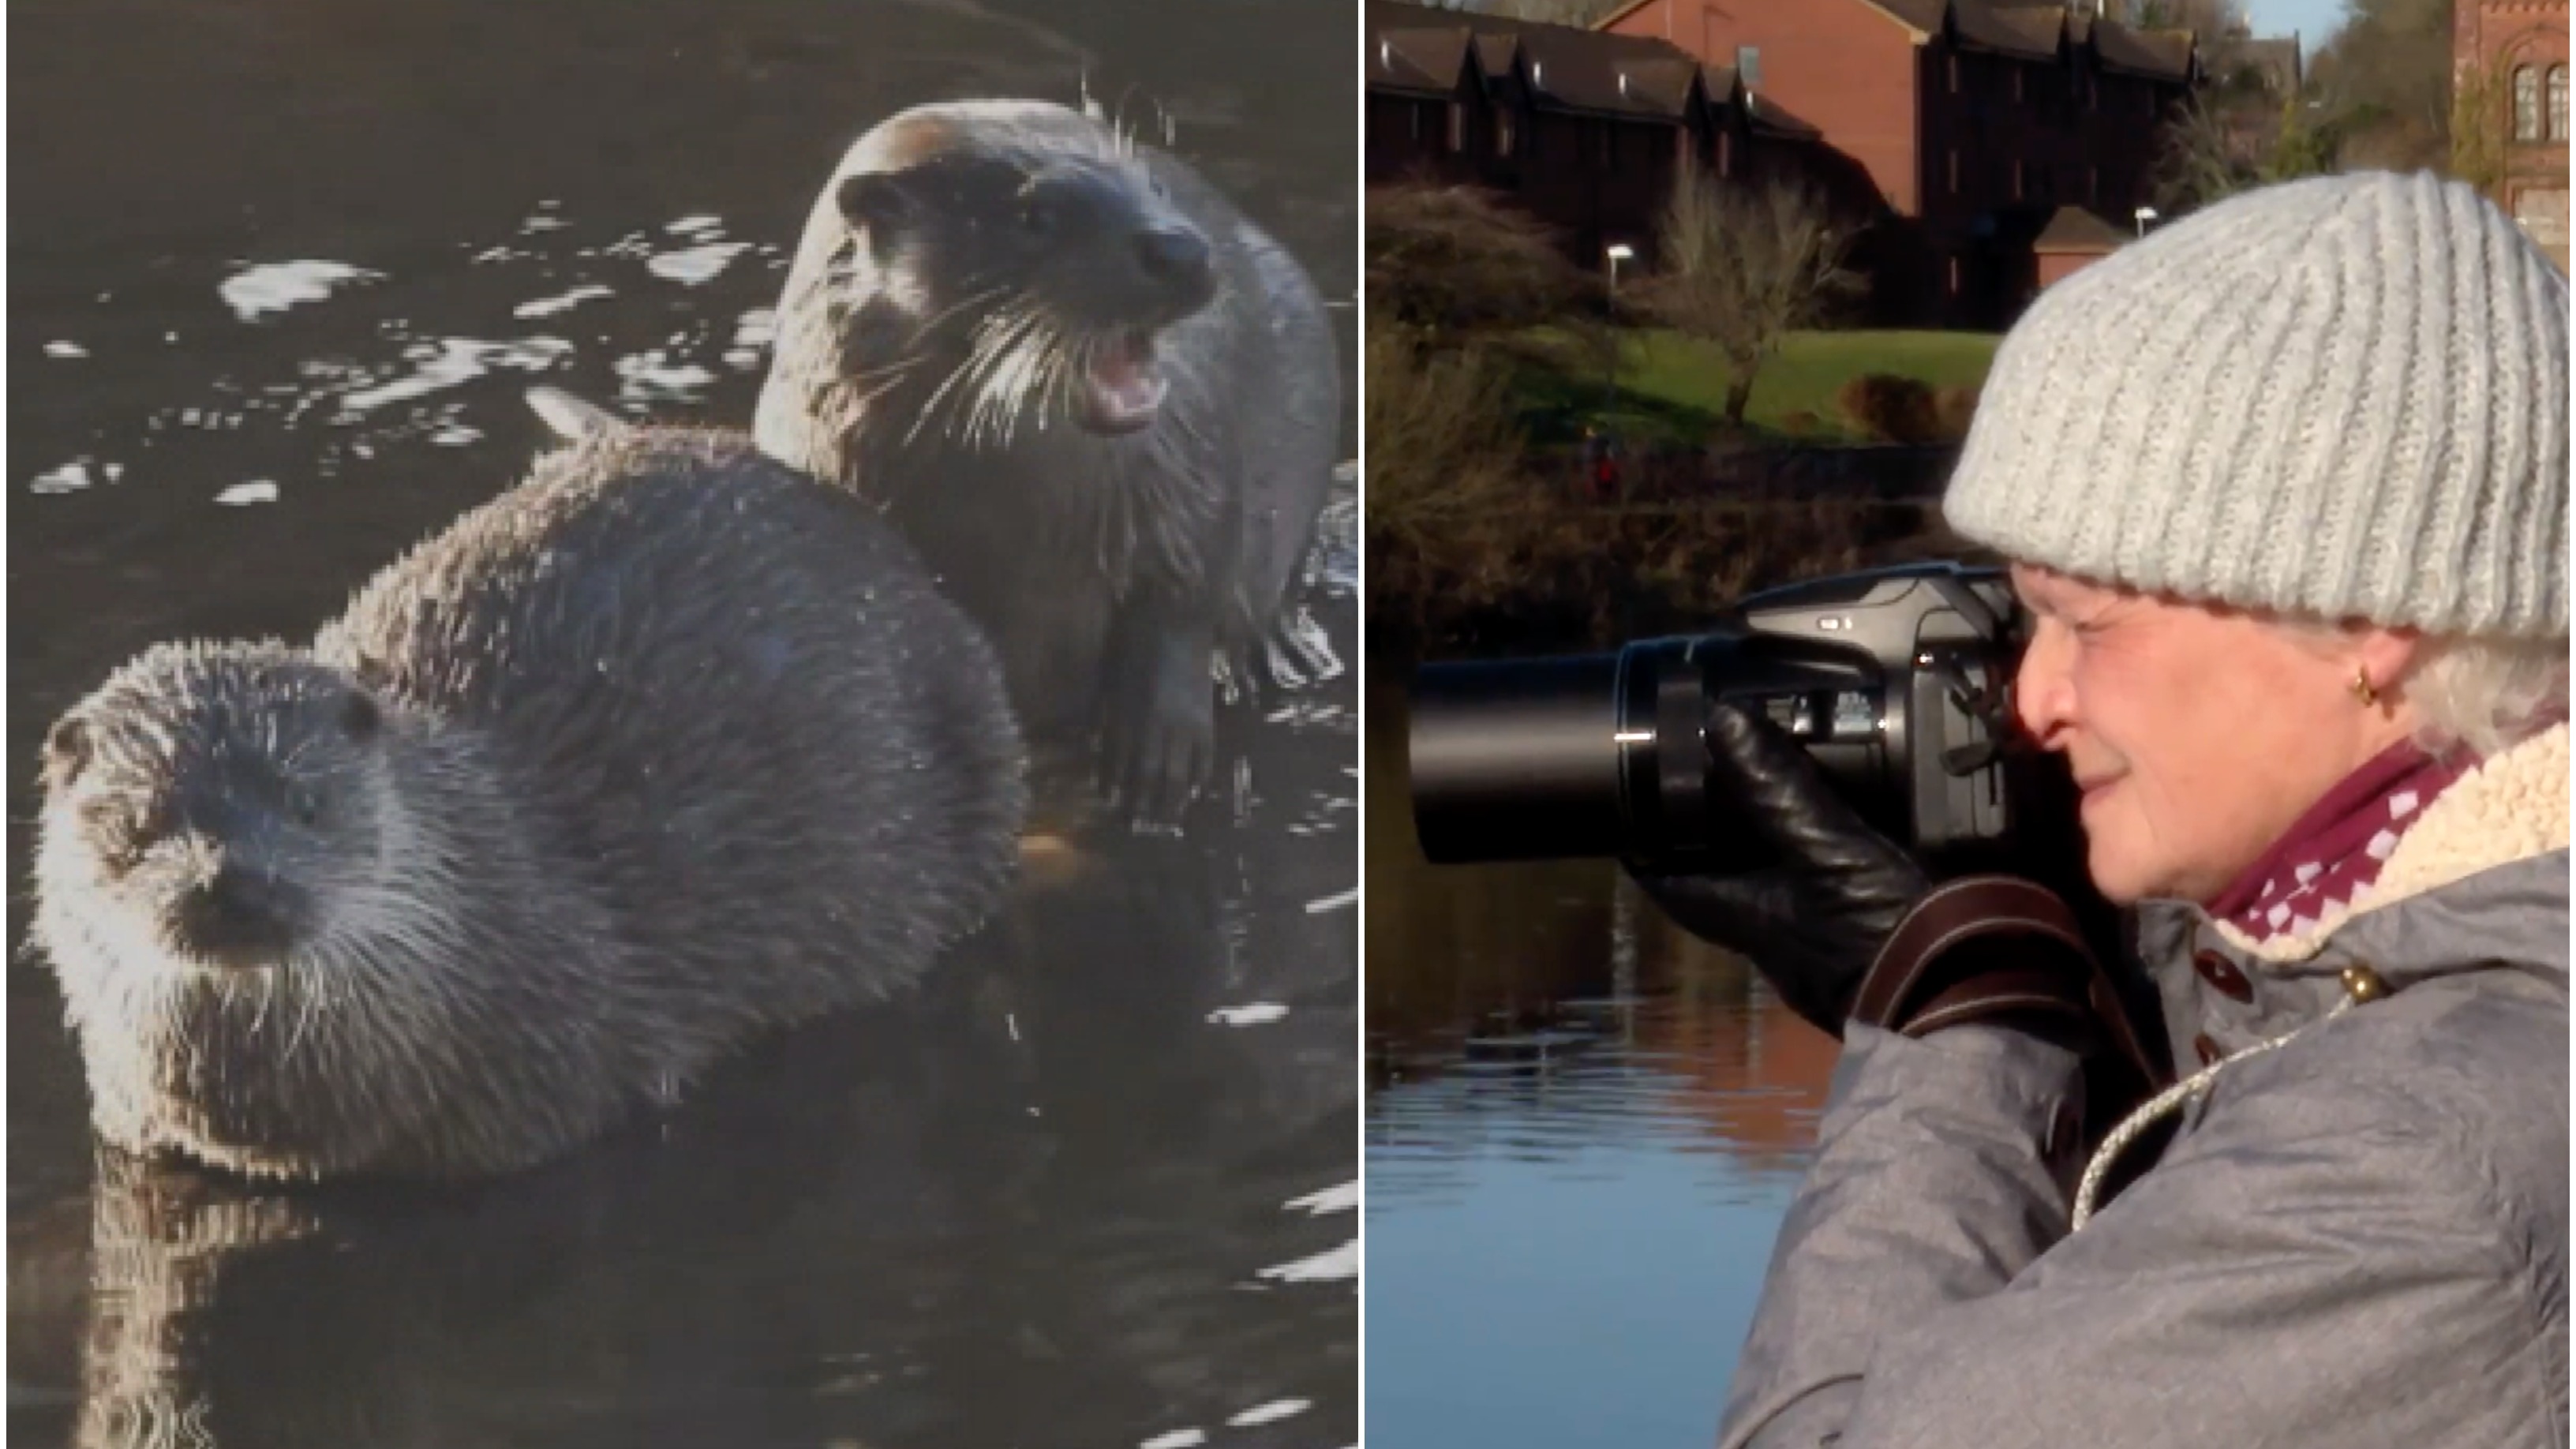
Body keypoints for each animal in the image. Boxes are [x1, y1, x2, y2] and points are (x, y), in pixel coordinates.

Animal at [752, 99, 1342, 829]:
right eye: (1036, 217)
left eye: (1155, 188)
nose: (1180, 249)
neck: (1016, 537)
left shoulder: (1193, 468)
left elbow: (1188, 594)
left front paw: (1162, 740)